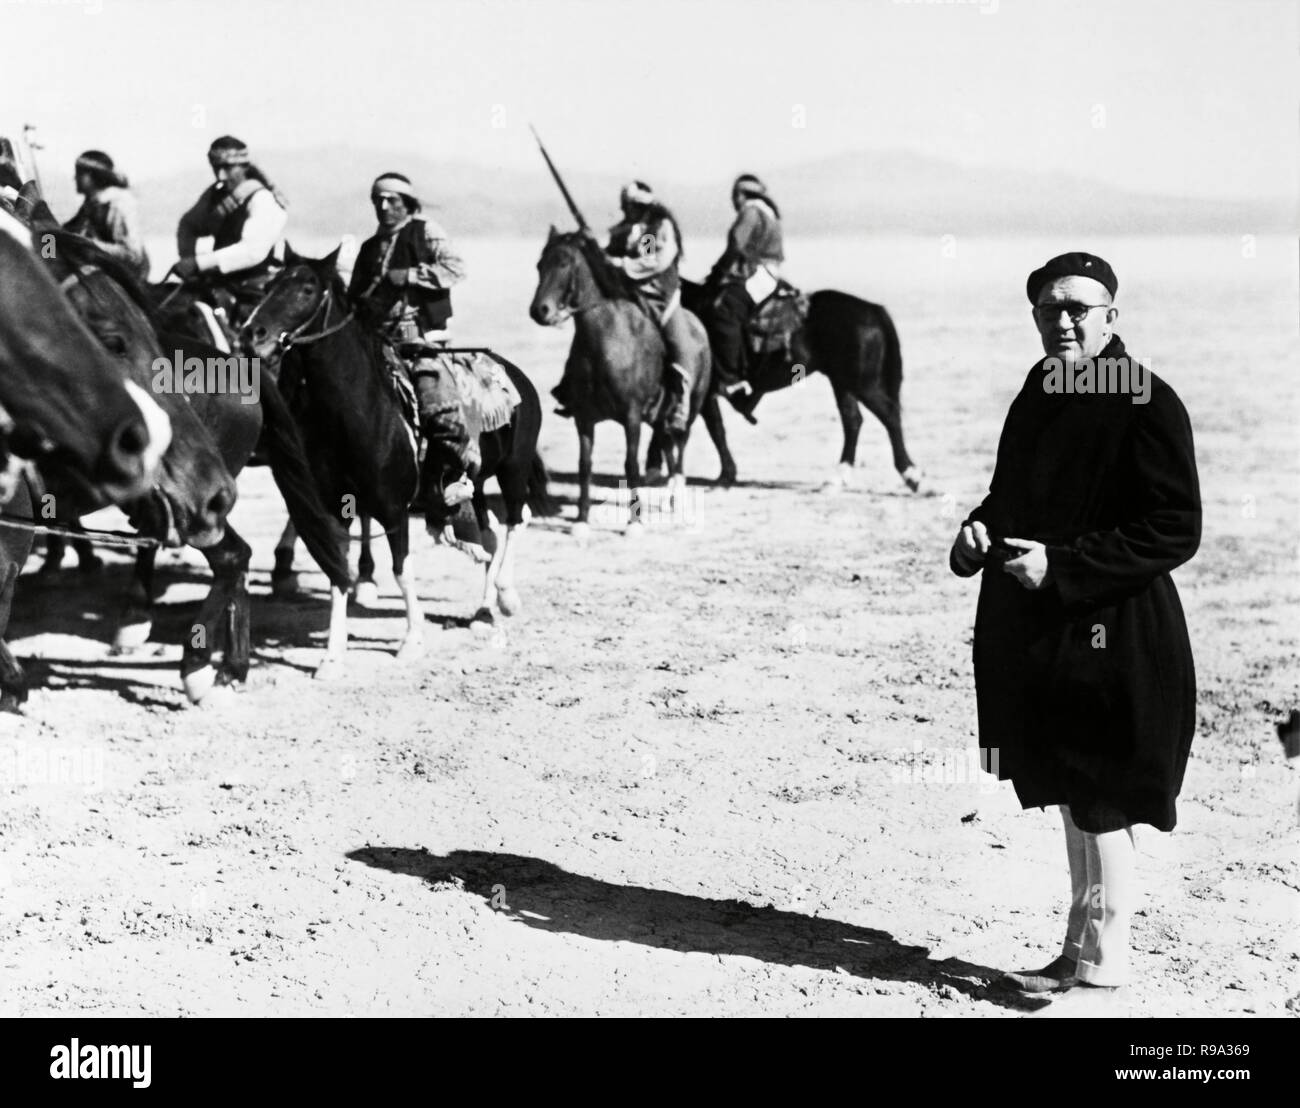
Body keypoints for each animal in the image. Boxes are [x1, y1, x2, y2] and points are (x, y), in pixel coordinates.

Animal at [236, 245, 551, 671]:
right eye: (269, 285)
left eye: (306, 288)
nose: (252, 333)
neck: (360, 410)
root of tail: (517, 378)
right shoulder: (336, 506)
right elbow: (338, 572)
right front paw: (332, 655)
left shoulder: (393, 508)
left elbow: (402, 570)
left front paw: (412, 639)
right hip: (477, 480)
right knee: (488, 535)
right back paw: (484, 612)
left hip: (513, 471)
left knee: (516, 521)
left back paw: (506, 597)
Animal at [525, 227, 712, 538]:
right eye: (540, 265)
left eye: (564, 263)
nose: (540, 311)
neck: (606, 342)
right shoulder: (584, 418)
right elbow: (585, 465)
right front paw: (581, 520)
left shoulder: (631, 416)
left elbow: (630, 464)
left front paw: (634, 523)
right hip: (658, 415)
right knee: (667, 446)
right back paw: (670, 501)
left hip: (688, 409)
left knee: (680, 450)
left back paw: (680, 502)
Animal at [681, 274, 925, 491]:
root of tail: (873, 310)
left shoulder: (702, 393)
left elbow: (714, 430)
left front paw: (725, 476)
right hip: (842, 382)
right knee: (853, 421)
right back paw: (838, 477)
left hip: (863, 384)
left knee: (889, 416)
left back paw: (911, 475)